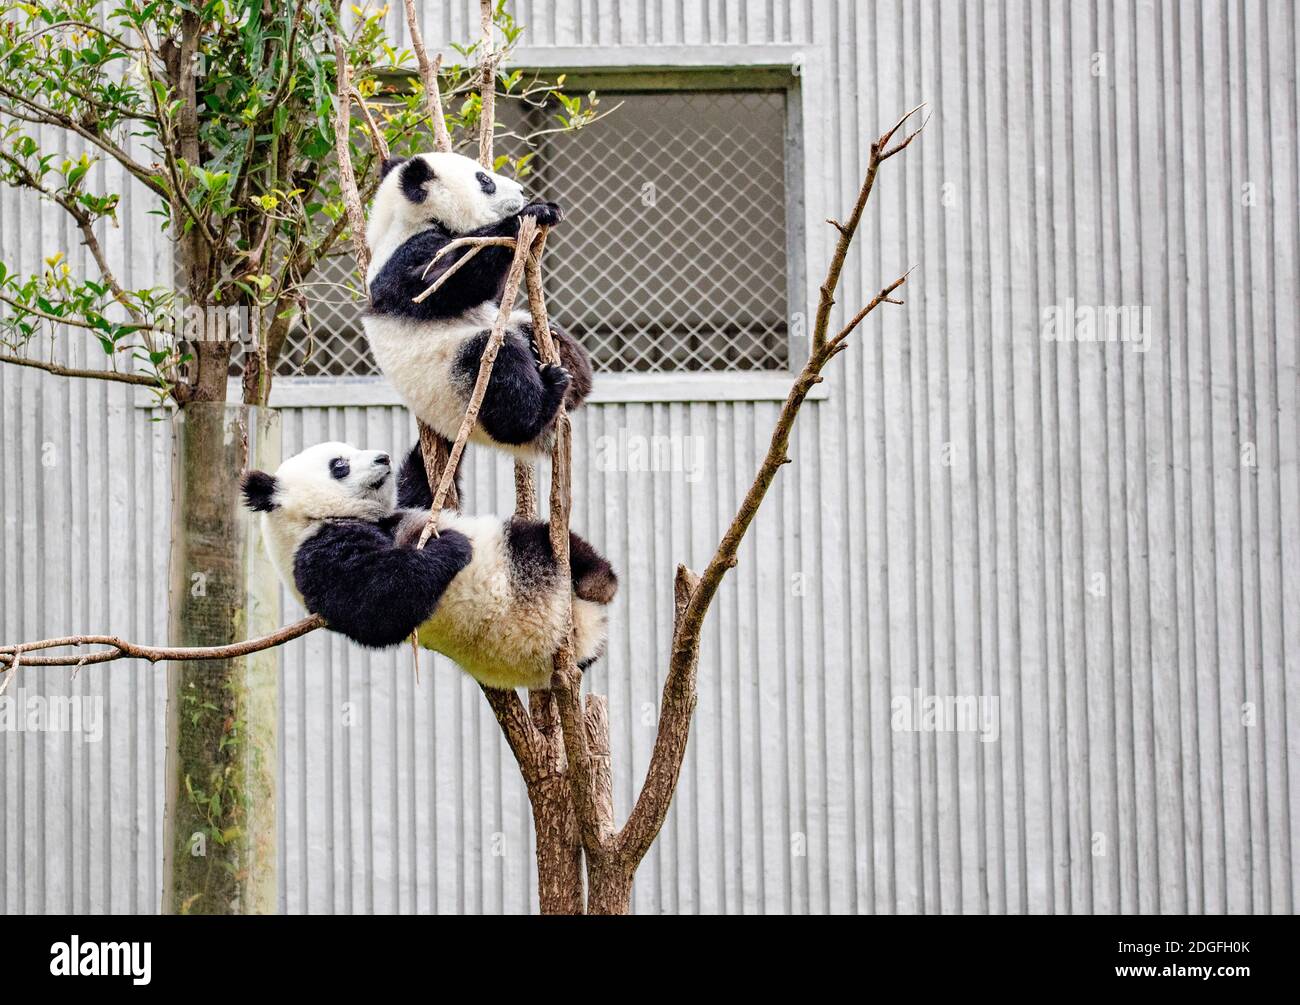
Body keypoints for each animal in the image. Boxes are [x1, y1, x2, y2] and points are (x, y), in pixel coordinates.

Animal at [241, 440, 617, 691]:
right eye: (340, 464)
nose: (383, 457)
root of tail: (583, 631)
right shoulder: (317, 552)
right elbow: (375, 603)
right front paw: (452, 545)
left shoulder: (401, 508)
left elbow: (423, 487)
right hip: (521, 564)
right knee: (540, 539)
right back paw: (600, 581)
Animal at [363, 151, 594, 461]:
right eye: (485, 180)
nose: (522, 191)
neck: (403, 219)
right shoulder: (403, 258)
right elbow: (446, 283)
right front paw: (535, 212)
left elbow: (491, 295)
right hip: (451, 380)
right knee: (496, 363)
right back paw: (546, 398)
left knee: (527, 327)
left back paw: (566, 366)